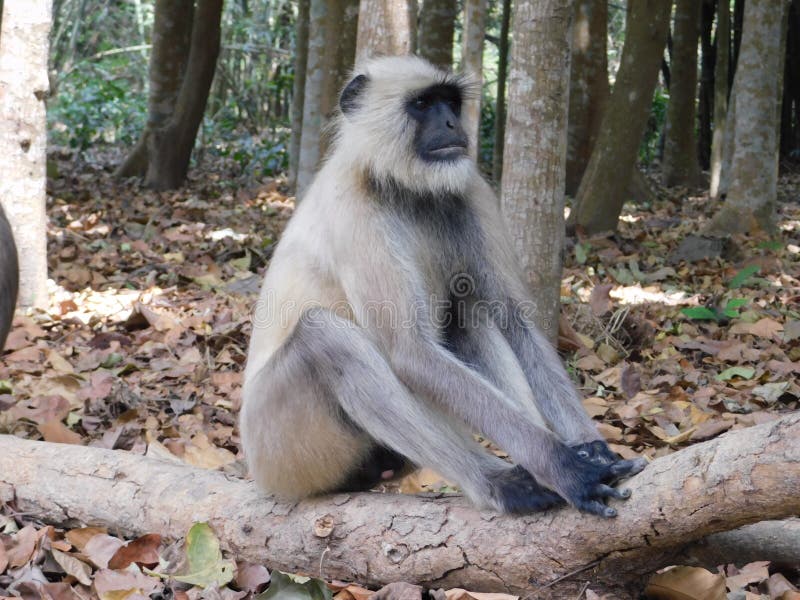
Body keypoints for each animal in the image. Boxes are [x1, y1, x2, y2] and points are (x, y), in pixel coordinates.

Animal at [241, 56, 646, 517]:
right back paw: (500, 484)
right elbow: (410, 353)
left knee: (464, 311)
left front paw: (590, 448)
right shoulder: (354, 209)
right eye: (422, 104)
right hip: (279, 449)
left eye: (449, 102)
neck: (400, 186)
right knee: (325, 338)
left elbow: (514, 321)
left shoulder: (471, 190)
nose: (453, 124)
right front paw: (565, 467)